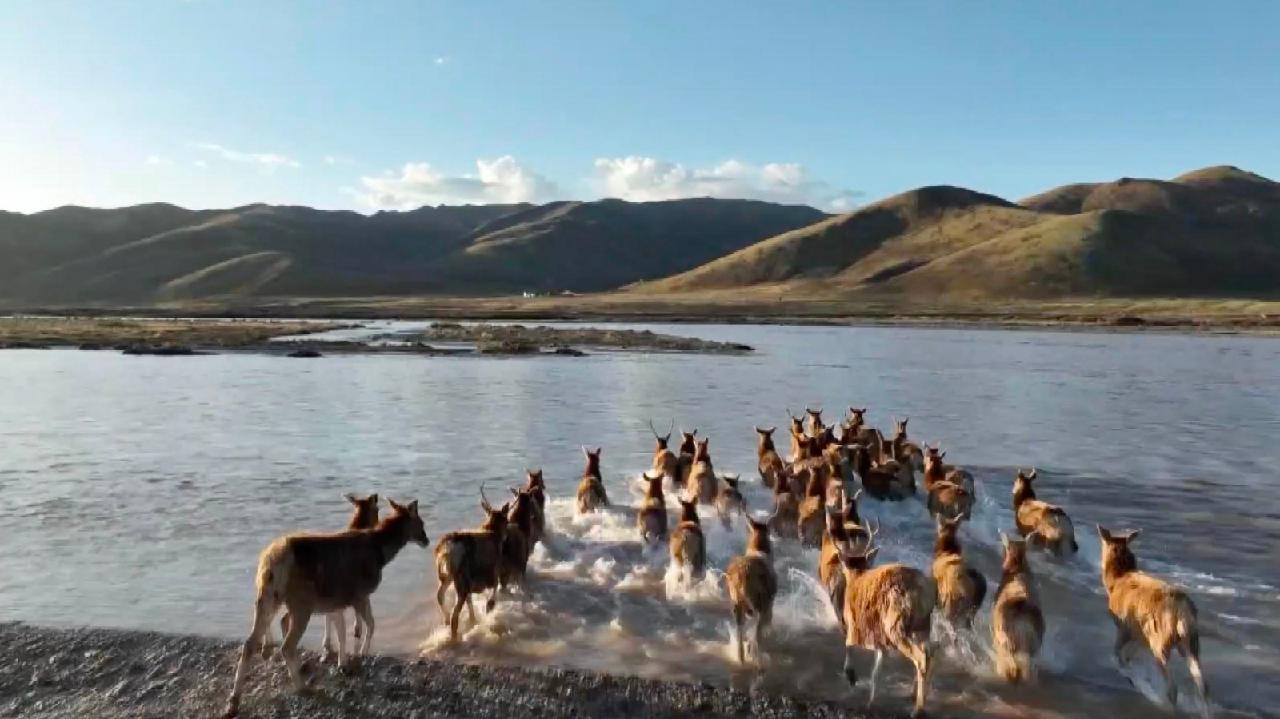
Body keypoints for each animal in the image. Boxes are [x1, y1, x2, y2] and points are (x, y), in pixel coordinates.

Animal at [223, 499, 430, 718]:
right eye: (421, 522)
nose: (426, 540)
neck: (381, 554)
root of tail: (270, 565)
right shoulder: (360, 593)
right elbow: (369, 624)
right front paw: (361, 655)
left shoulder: (336, 600)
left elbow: (342, 630)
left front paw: (343, 662)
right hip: (301, 603)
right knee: (286, 645)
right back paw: (302, 686)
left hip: (268, 597)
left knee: (251, 642)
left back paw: (234, 701)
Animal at [434, 486, 510, 643]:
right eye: (506, 520)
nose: (506, 536)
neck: (492, 530)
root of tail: (446, 551)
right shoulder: (493, 572)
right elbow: (492, 597)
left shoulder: (471, 581)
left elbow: (470, 601)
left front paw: (473, 620)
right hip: (460, 577)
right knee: (455, 615)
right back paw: (454, 637)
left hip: (447, 576)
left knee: (440, 596)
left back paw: (445, 622)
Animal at [726, 514, 778, 665]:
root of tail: (742, 577)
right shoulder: (769, 602)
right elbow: (766, 623)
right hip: (759, 601)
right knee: (757, 631)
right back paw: (758, 659)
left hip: (737, 602)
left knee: (740, 631)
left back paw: (741, 658)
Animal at [835, 526, 937, 718]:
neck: (856, 578)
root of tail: (923, 591)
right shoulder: (879, 636)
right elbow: (877, 671)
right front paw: (871, 702)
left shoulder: (854, 622)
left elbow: (849, 645)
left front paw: (851, 676)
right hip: (922, 624)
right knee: (929, 652)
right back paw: (914, 696)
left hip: (895, 624)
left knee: (921, 658)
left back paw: (918, 709)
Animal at [1097, 526, 1210, 717]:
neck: (1116, 580)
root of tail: (1183, 613)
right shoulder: (1139, 634)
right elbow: (1127, 656)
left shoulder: (1124, 627)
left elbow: (1117, 655)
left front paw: (1130, 677)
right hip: (1191, 641)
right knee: (1202, 684)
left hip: (1161, 640)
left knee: (1173, 687)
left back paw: (1165, 706)